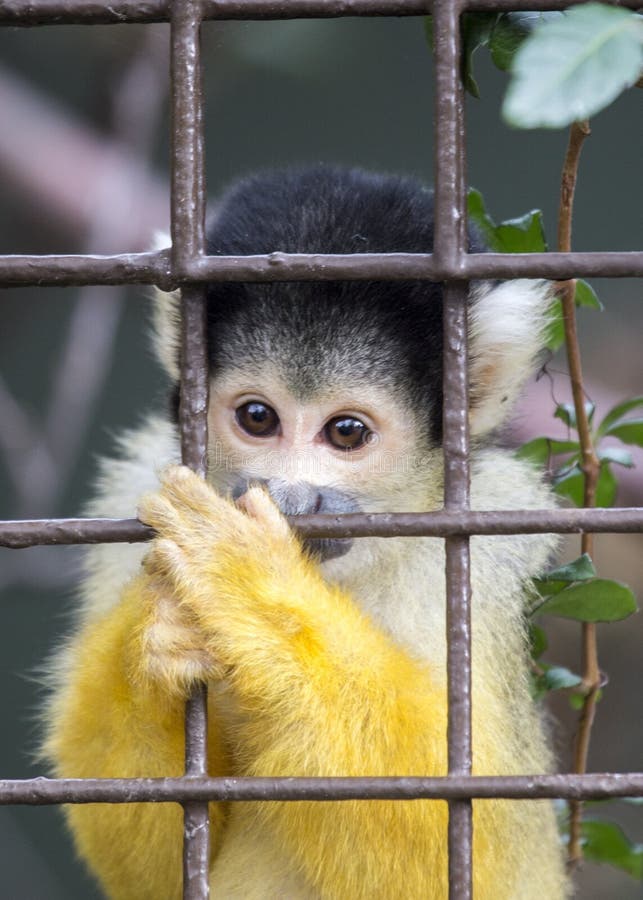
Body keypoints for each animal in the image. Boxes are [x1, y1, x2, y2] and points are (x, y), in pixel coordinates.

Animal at [43, 166, 568, 899]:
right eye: (257, 418)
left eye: (346, 432)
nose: (291, 499)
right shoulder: (134, 488)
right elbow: (148, 868)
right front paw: (149, 639)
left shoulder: (488, 531)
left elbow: (480, 848)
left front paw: (246, 586)